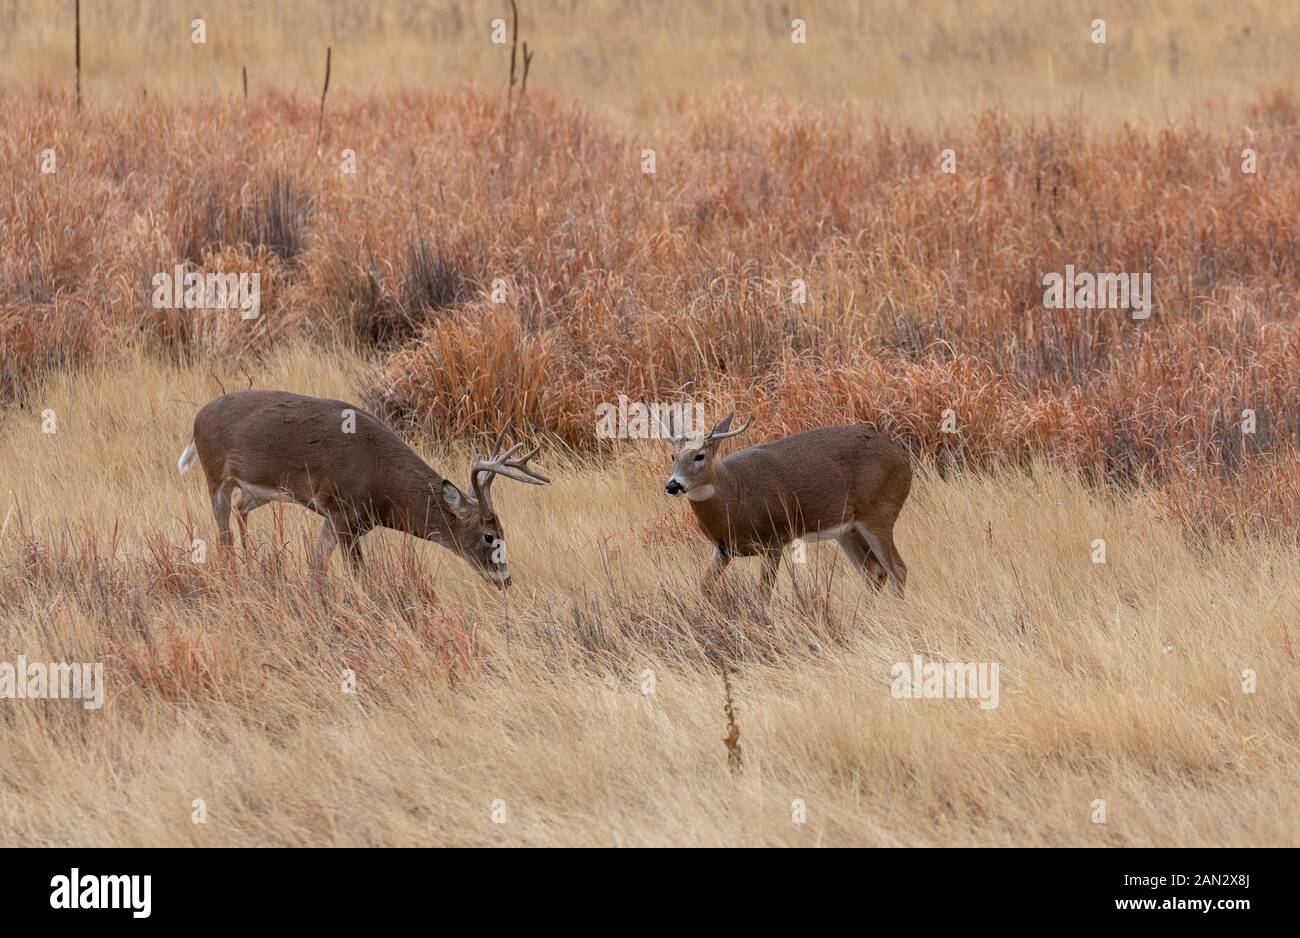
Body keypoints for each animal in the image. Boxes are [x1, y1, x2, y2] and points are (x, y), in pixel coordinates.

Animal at [176, 390, 551, 588]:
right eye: (489, 536)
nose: (505, 579)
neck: (383, 482)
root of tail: (197, 418)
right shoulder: (343, 510)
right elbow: (359, 575)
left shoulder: (341, 517)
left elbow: (317, 564)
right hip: (215, 476)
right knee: (222, 532)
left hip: (257, 492)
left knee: (240, 510)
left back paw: (252, 562)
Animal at [661, 414, 911, 600]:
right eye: (673, 456)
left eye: (700, 456)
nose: (673, 485)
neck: (734, 494)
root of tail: (903, 458)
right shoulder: (723, 549)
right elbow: (704, 587)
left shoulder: (774, 538)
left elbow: (763, 593)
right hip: (847, 530)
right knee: (874, 572)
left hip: (879, 511)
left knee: (897, 570)